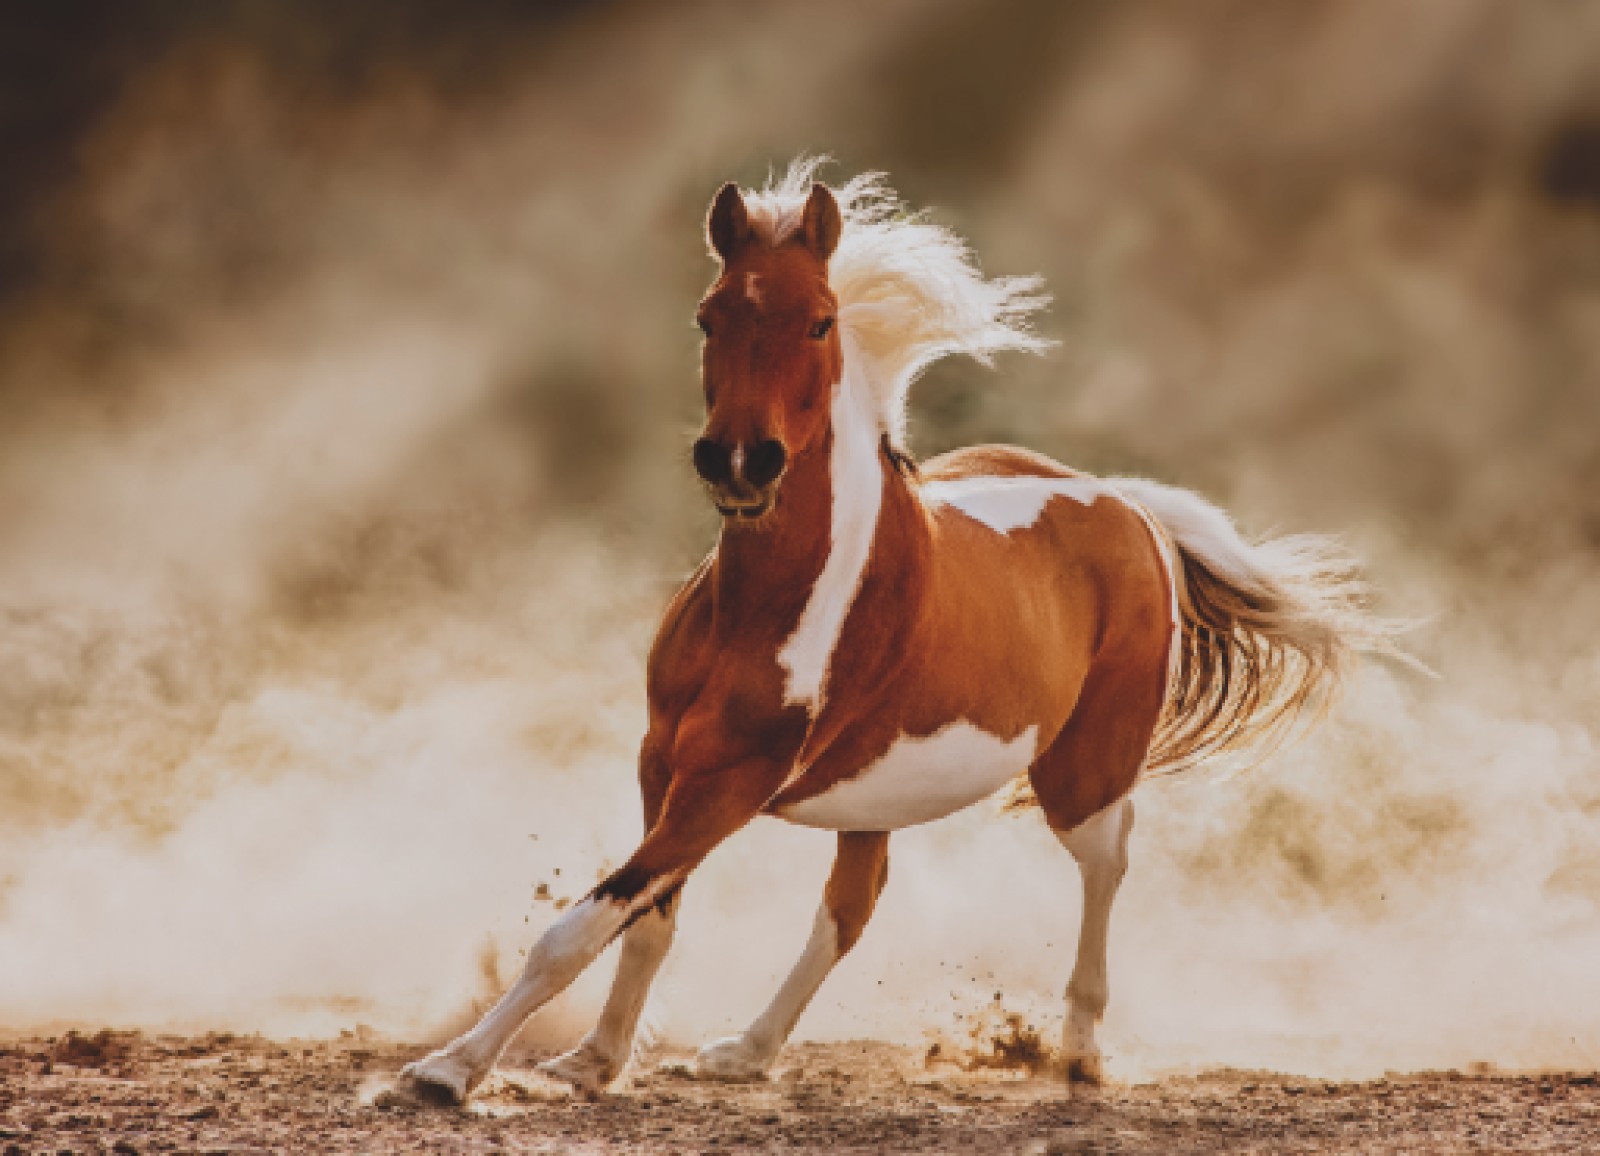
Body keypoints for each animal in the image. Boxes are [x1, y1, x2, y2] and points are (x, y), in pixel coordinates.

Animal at [397, 160, 1401, 1104]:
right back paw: (746, 1051)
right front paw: (591, 1063)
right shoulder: (663, 763)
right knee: (853, 905)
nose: (738, 462)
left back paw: (1078, 1053)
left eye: (819, 321)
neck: (767, 604)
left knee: (1106, 863)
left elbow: (579, 925)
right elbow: (648, 920)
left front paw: (448, 1071)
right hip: (876, 798)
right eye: (708, 317)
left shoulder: (727, 784)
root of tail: (1123, 503)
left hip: (1081, 773)